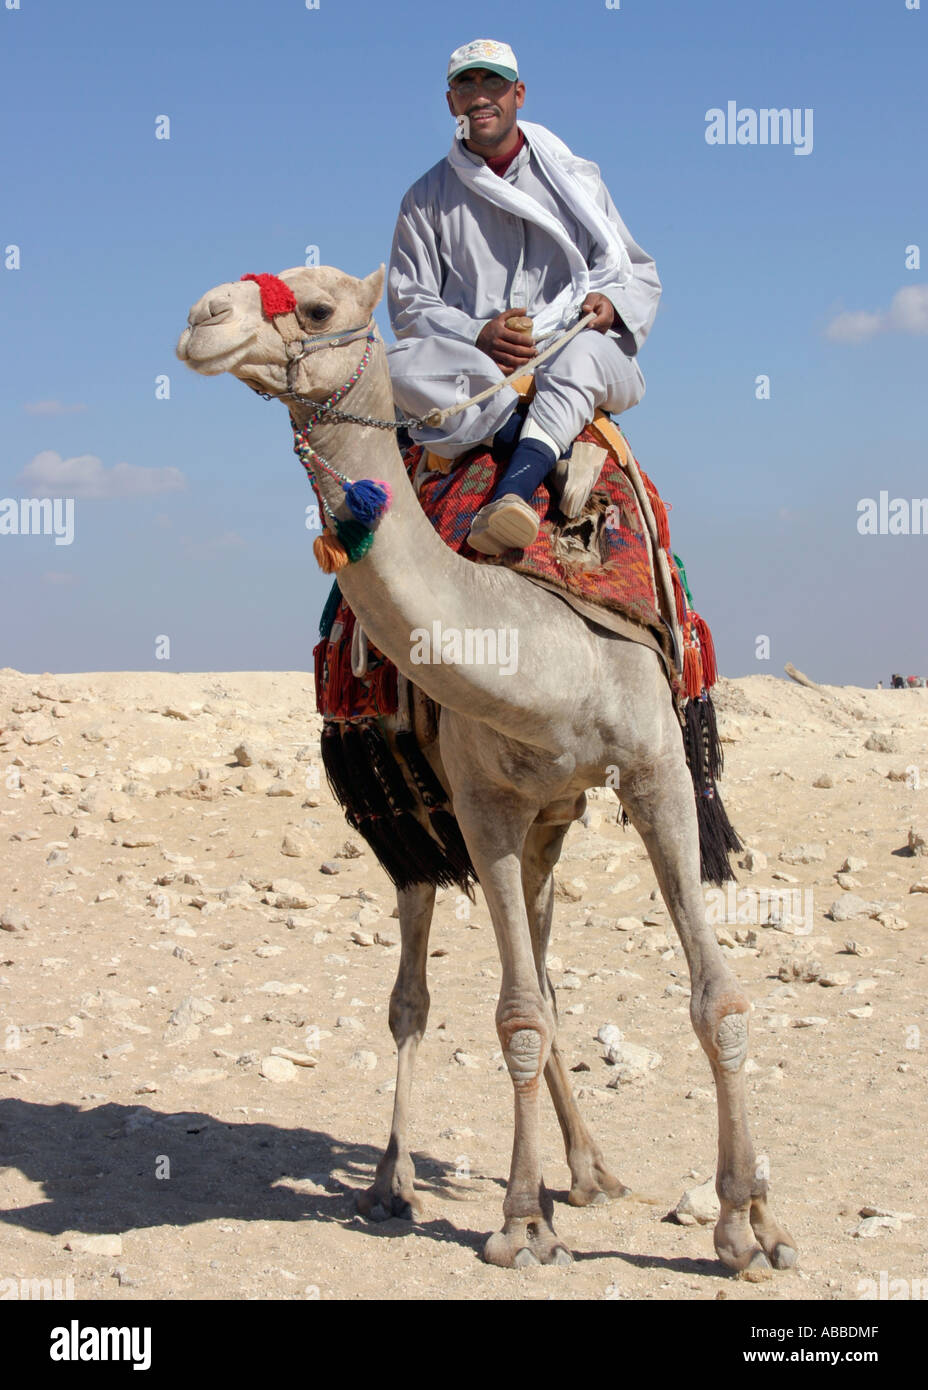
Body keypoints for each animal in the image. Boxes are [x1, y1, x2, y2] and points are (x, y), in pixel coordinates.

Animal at [176, 264, 797, 1272]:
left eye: (317, 306)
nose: (203, 319)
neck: (538, 641)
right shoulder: (481, 805)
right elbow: (514, 1017)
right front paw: (517, 1222)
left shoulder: (655, 772)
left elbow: (712, 997)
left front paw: (752, 1222)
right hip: (418, 836)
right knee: (415, 997)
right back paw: (396, 1183)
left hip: (554, 820)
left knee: (542, 978)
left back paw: (589, 1172)